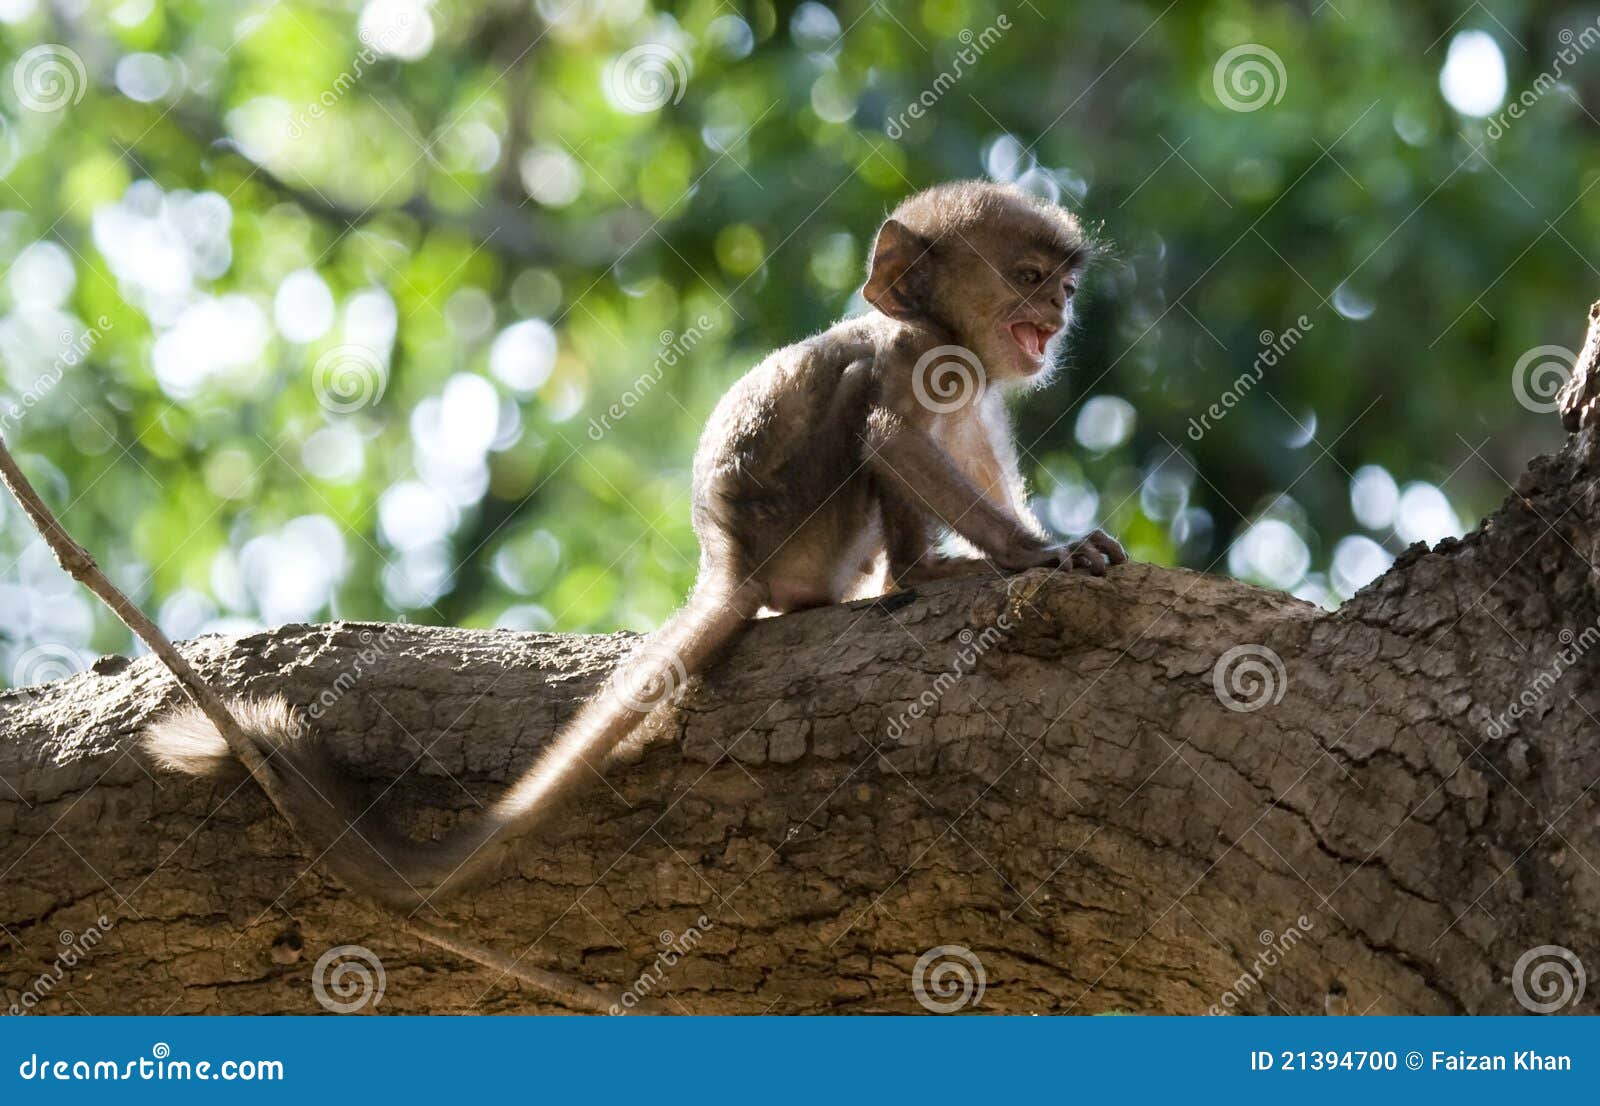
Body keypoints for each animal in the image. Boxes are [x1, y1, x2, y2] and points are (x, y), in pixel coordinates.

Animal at [143, 180, 1127, 913]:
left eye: (1064, 285)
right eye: (1029, 274)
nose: (1061, 305)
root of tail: (730, 563)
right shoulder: (921, 350)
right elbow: (892, 437)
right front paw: (1033, 556)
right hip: (804, 530)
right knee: (853, 390)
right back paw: (915, 571)